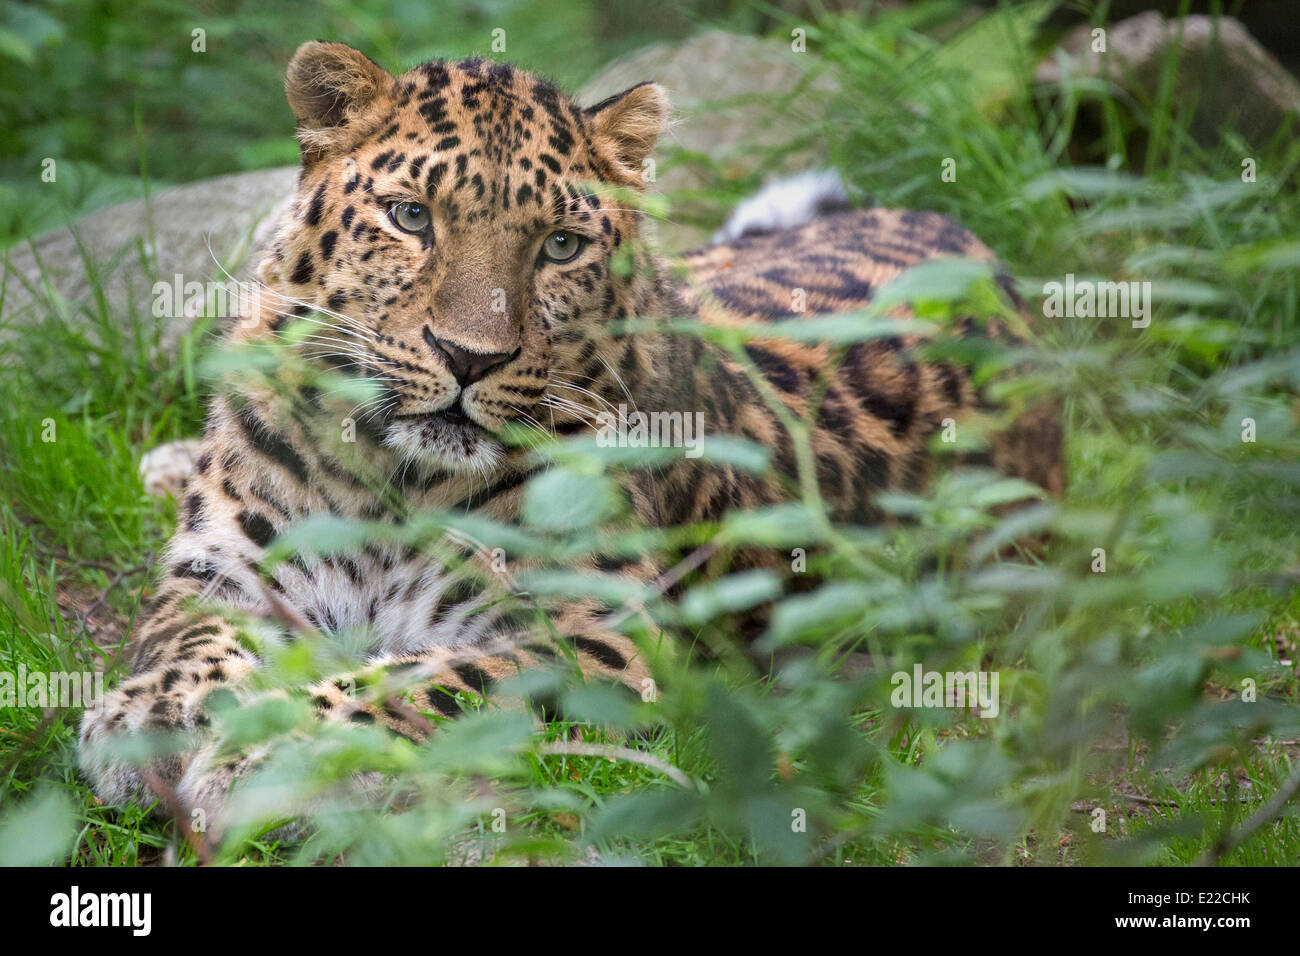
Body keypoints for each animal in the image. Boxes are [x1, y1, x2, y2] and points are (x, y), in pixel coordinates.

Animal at [79, 41, 1064, 833]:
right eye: (411, 217)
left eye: (558, 246)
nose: (470, 357)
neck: (394, 482)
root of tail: (959, 237)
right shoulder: (227, 574)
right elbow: (190, 639)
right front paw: (152, 720)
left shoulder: (605, 639)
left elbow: (429, 680)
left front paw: (276, 754)